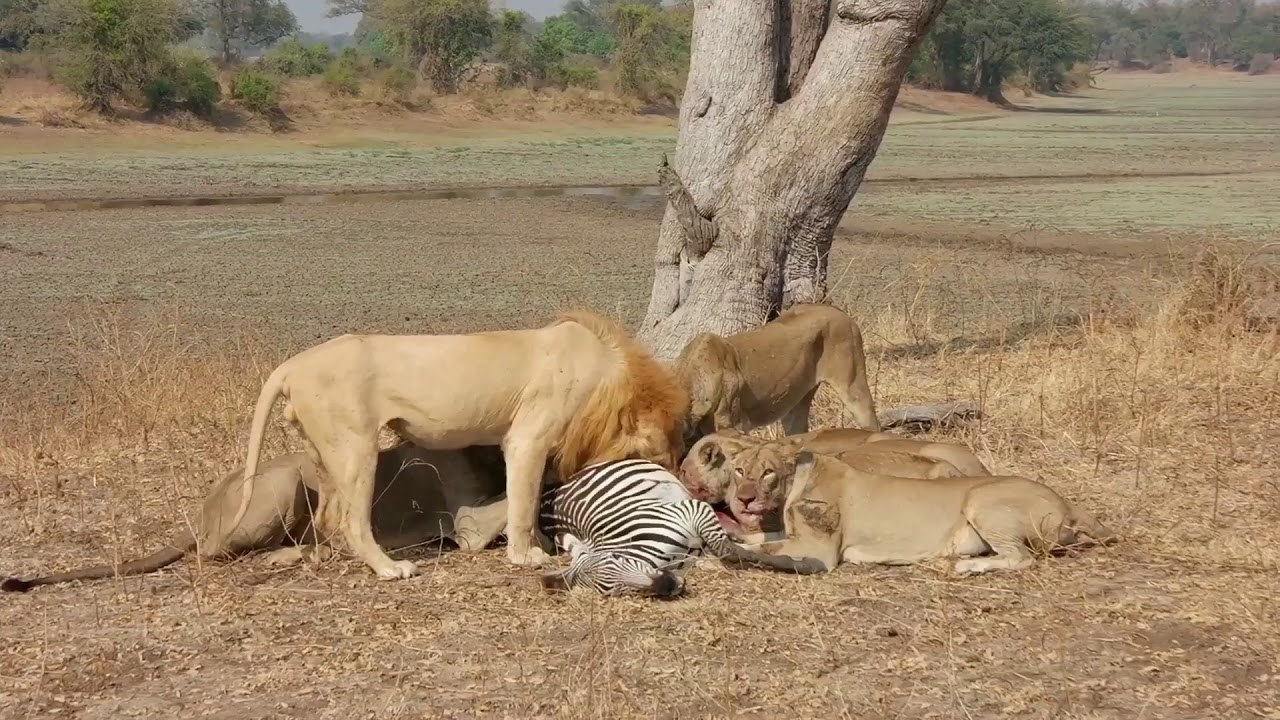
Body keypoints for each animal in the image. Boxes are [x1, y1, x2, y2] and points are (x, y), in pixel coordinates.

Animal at [233, 309, 688, 579]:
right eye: (662, 456)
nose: (680, 476)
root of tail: (292, 365)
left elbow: (531, 499)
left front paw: (540, 545)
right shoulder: (527, 439)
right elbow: (523, 502)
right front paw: (525, 555)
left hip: (324, 452)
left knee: (328, 518)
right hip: (355, 447)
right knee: (351, 520)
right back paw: (391, 568)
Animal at [536, 457, 824, 598]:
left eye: (618, 559)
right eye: (614, 592)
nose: (667, 586)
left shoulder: (691, 511)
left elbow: (732, 552)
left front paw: (806, 563)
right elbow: (725, 553)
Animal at [727, 441, 1121, 574]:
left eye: (767, 472)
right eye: (739, 470)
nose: (743, 499)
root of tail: (1067, 502)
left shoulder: (819, 550)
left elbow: (769, 548)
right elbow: (765, 538)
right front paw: (736, 538)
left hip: (981, 500)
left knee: (1022, 558)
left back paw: (968, 566)